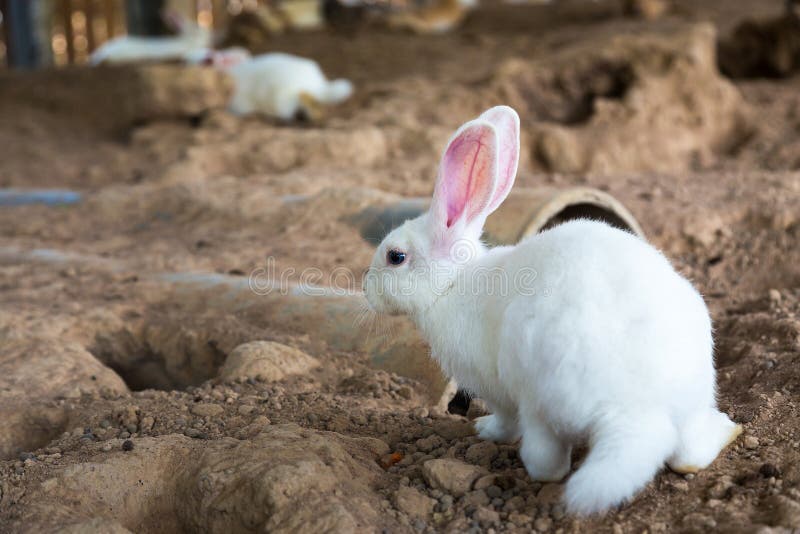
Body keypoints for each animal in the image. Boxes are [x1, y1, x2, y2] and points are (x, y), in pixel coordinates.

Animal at [362, 105, 741, 515]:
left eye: (395, 257)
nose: (366, 288)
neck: (453, 282)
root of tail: (639, 414)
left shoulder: (493, 388)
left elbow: (505, 419)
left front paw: (483, 429)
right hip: (691, 406)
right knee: (690, 455)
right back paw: (728, 430)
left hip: (538, 401)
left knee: (548, 464)